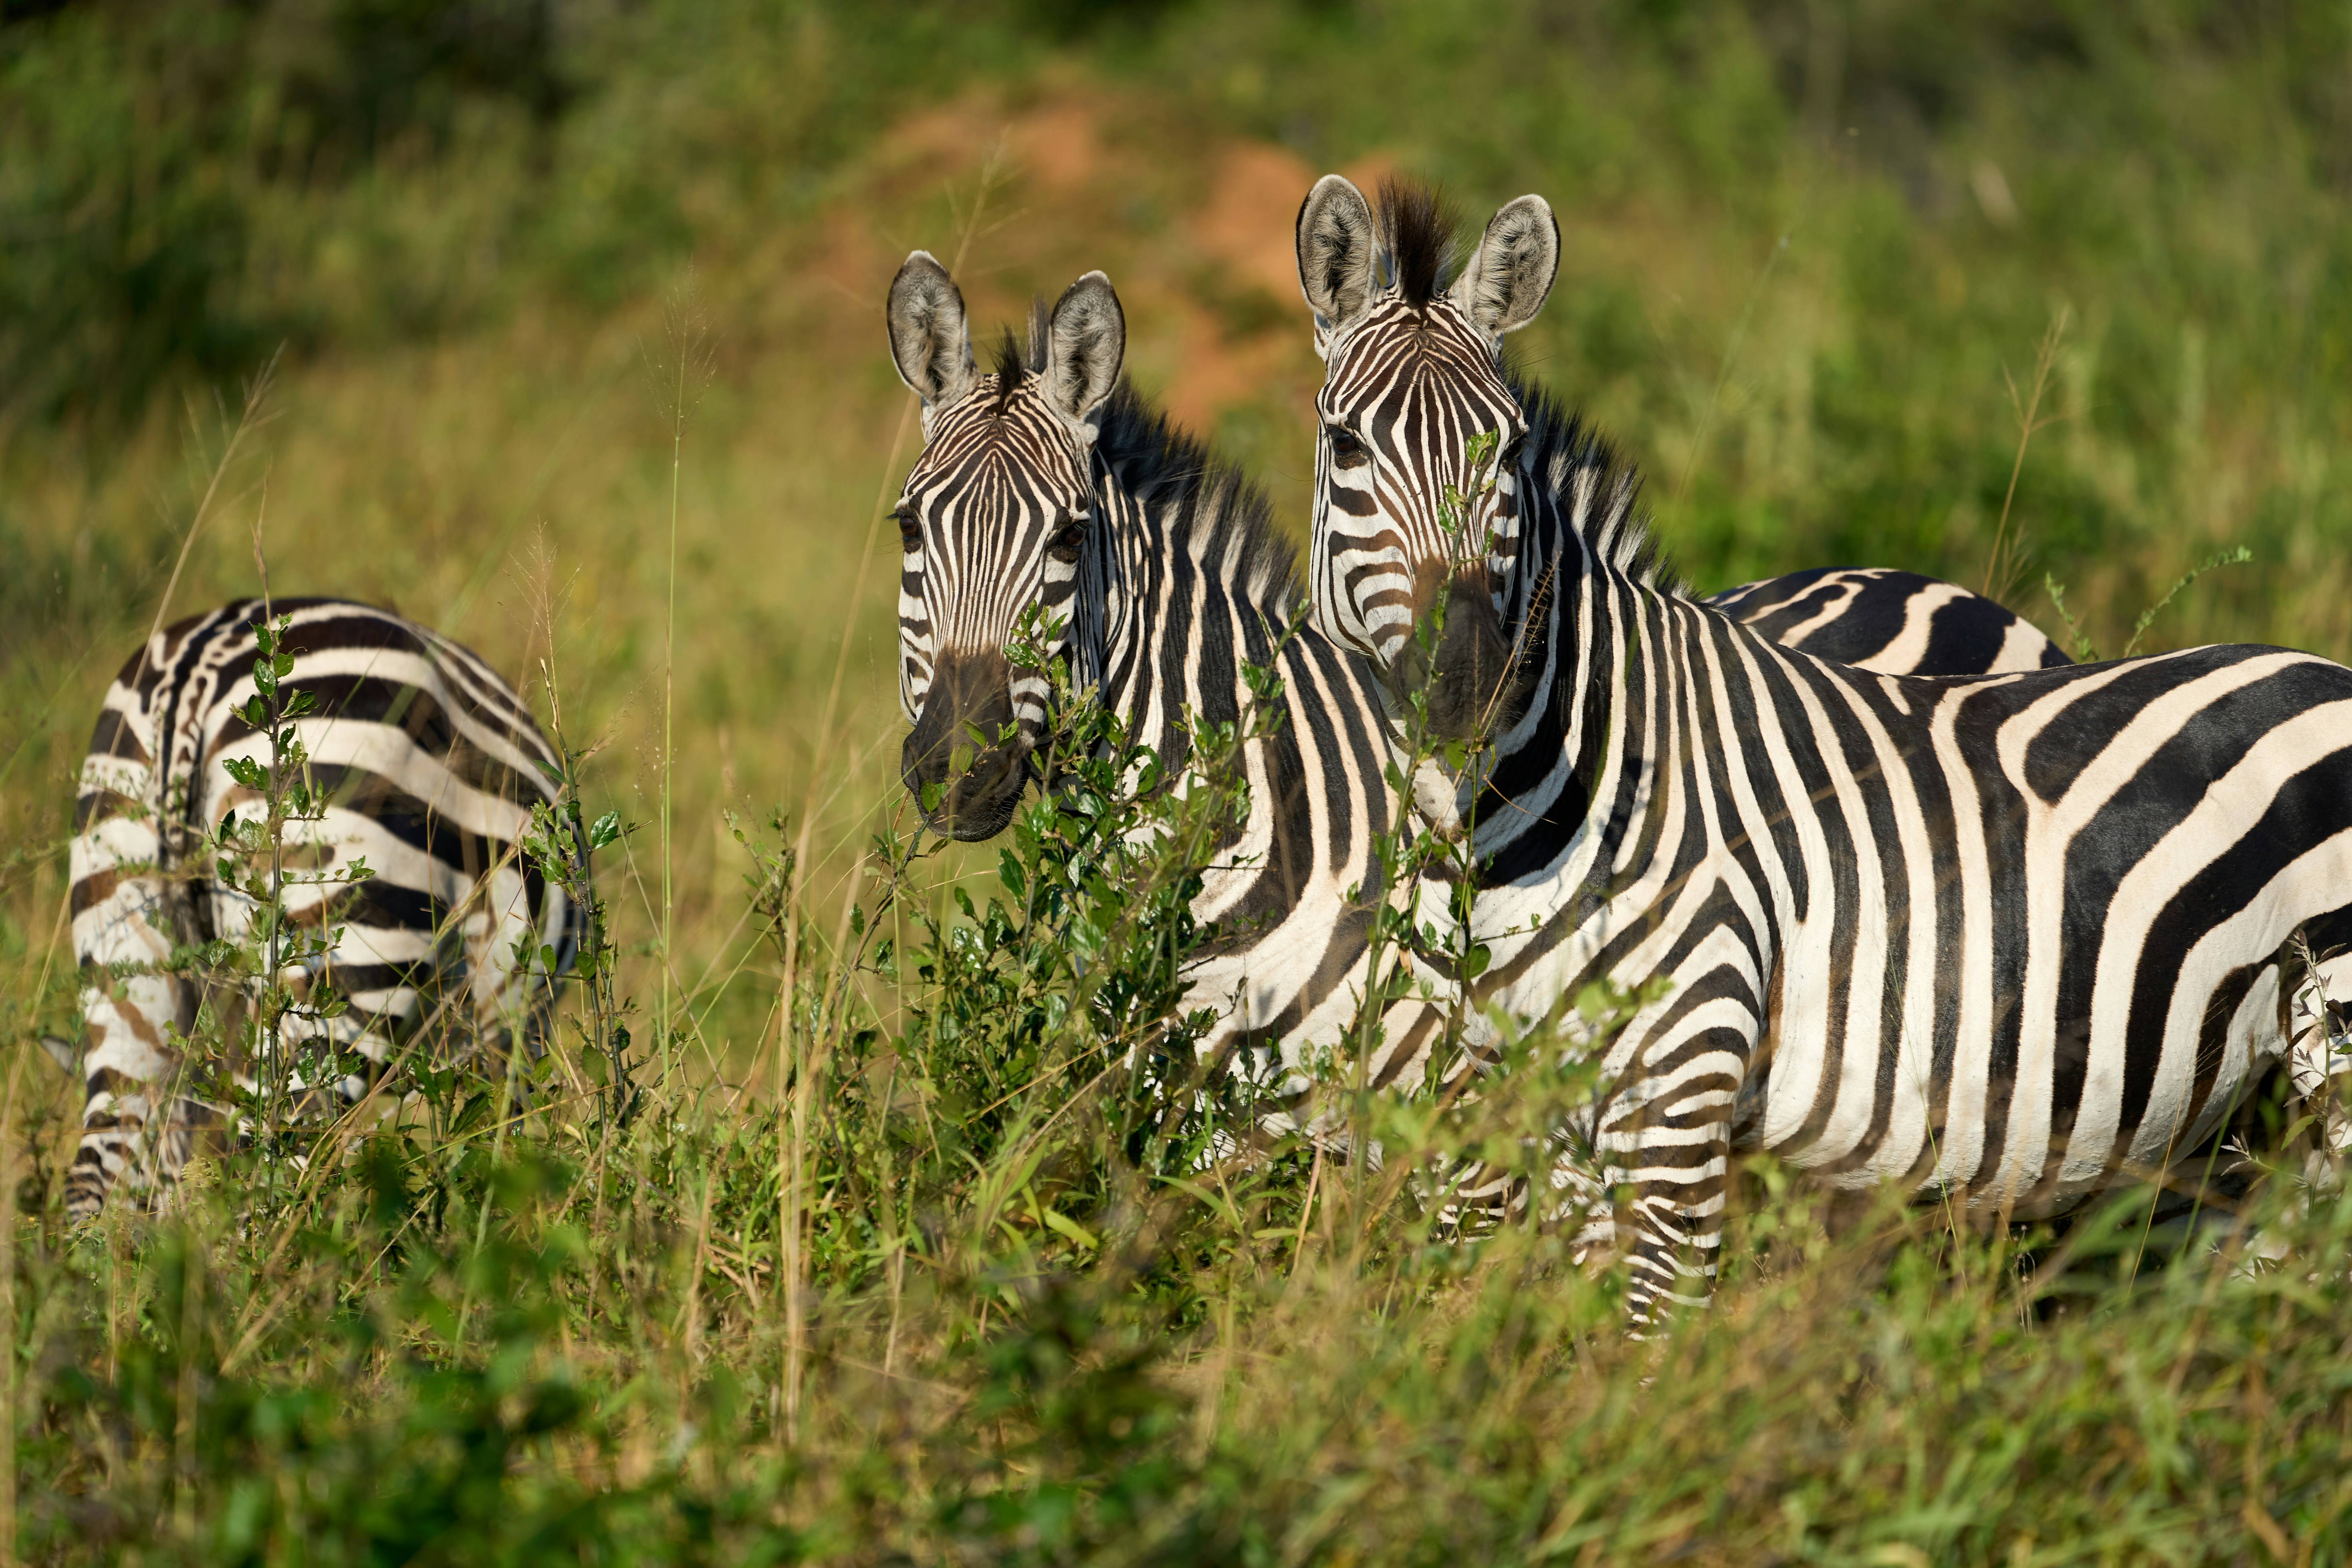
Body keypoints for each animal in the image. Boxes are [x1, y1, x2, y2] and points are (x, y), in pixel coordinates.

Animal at [61, 597, 580, 1220]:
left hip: (126, 952)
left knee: (102, 1179)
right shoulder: (510, 1032)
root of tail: (194, 668)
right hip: (337, 972)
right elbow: (491, 1162)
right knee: (275, 1173)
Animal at [1294, 174, 2352, 1325]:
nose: (1466, 680)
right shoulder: (1518, 1113)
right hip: (2230, 1114)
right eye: (1344, 447)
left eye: (1502, 449)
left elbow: (1648, 1340)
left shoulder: (1679, 1090)